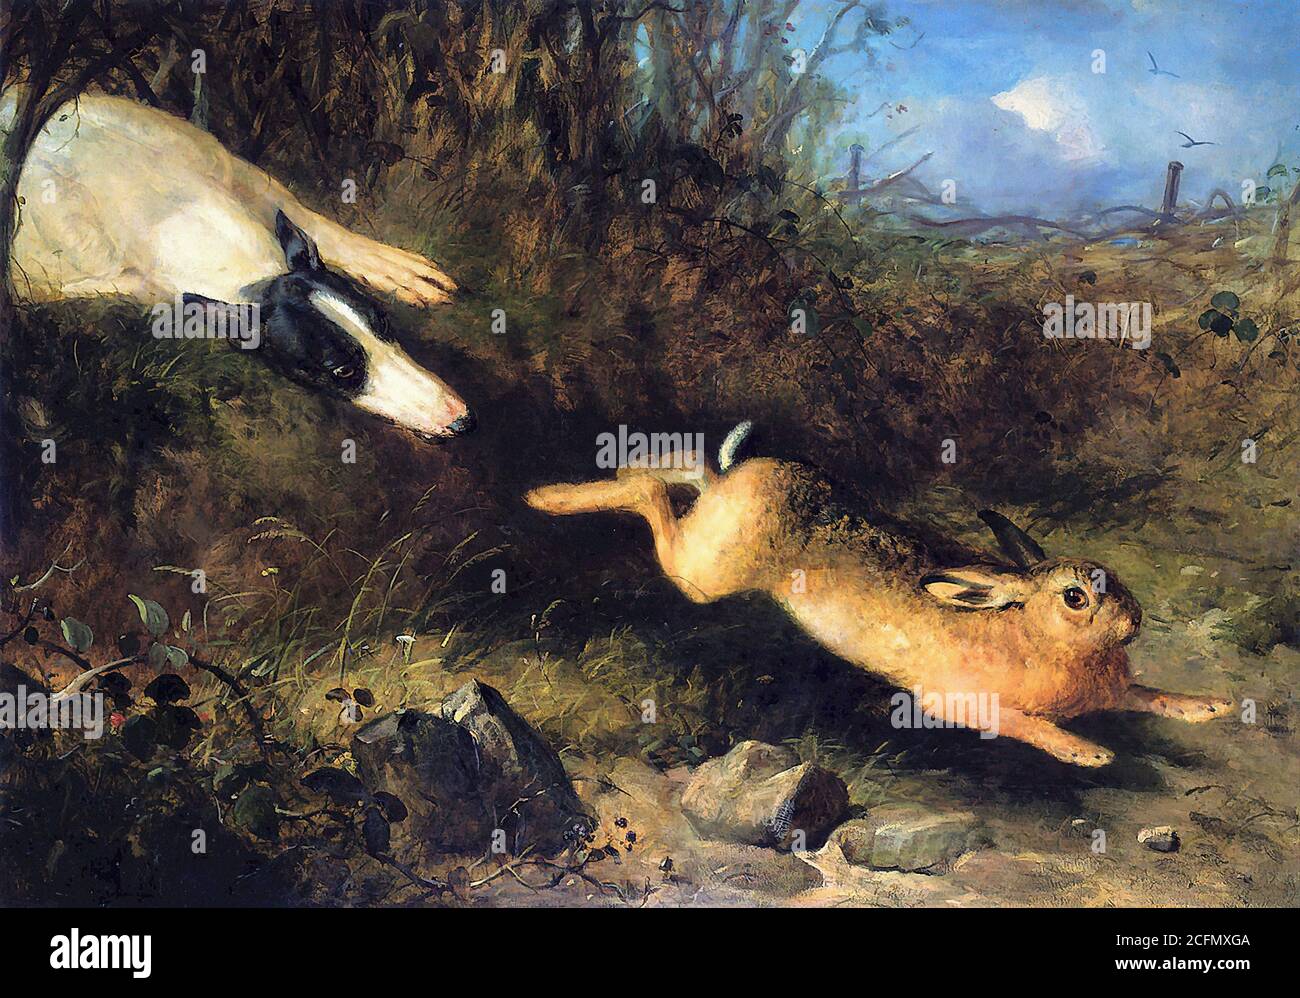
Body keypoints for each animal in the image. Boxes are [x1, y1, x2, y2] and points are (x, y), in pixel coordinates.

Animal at [525, 422, 1232, 766]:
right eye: (1075, 599)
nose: (1135, 621)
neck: (1028, 630)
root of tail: (746, 476)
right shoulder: (955, 701)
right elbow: (1023, 724)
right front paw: (1090, 754)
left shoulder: (1118, 691)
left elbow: (1150, 695)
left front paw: (1212, 708)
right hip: (706, 572)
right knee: (653, 495)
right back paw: (546, 497)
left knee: (679, 475)